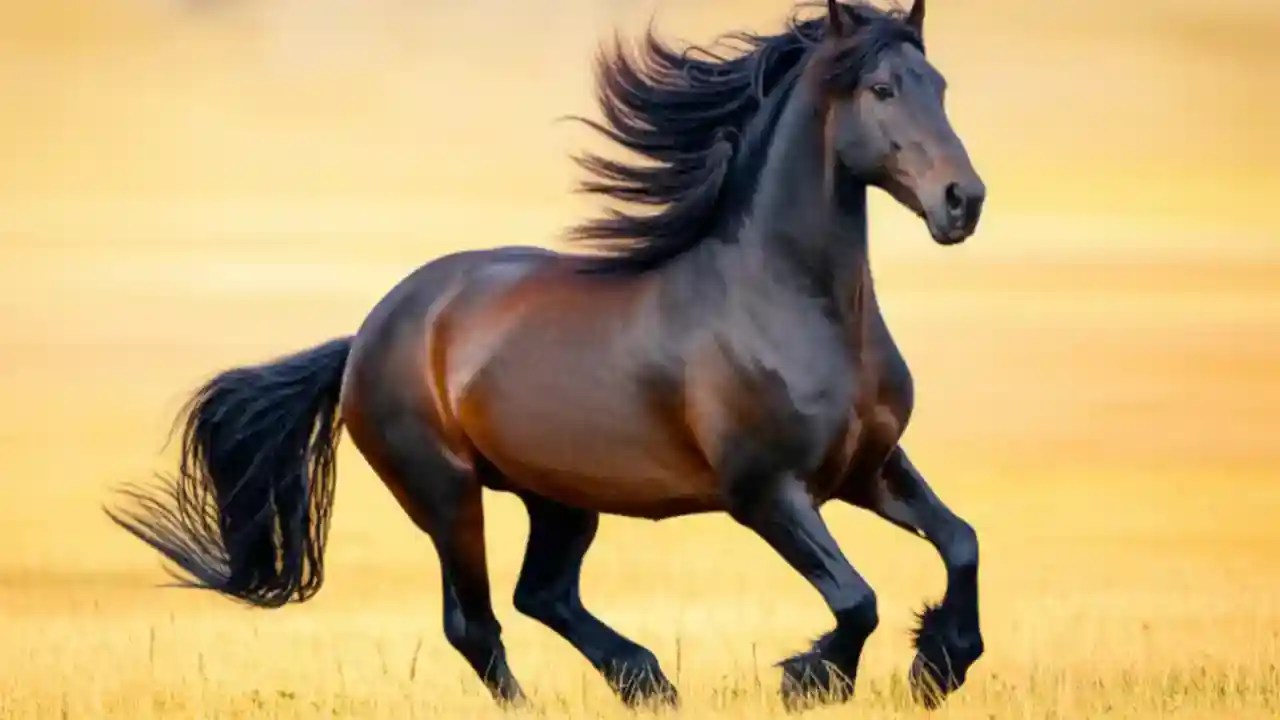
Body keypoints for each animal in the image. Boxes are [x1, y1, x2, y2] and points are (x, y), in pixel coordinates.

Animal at [108, 0, 986, 710]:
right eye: (881, 90)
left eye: (941, 85)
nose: (963, 202)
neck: (787, 302)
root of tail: (368, 334)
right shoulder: (766, 492)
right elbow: (856, 599)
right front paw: (814, 679)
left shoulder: (868, 468)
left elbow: (961, 543)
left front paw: (938, 665)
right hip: (445, 495)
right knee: (477, 623)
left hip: (560, 498)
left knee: (544, 596)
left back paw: (648, 681)